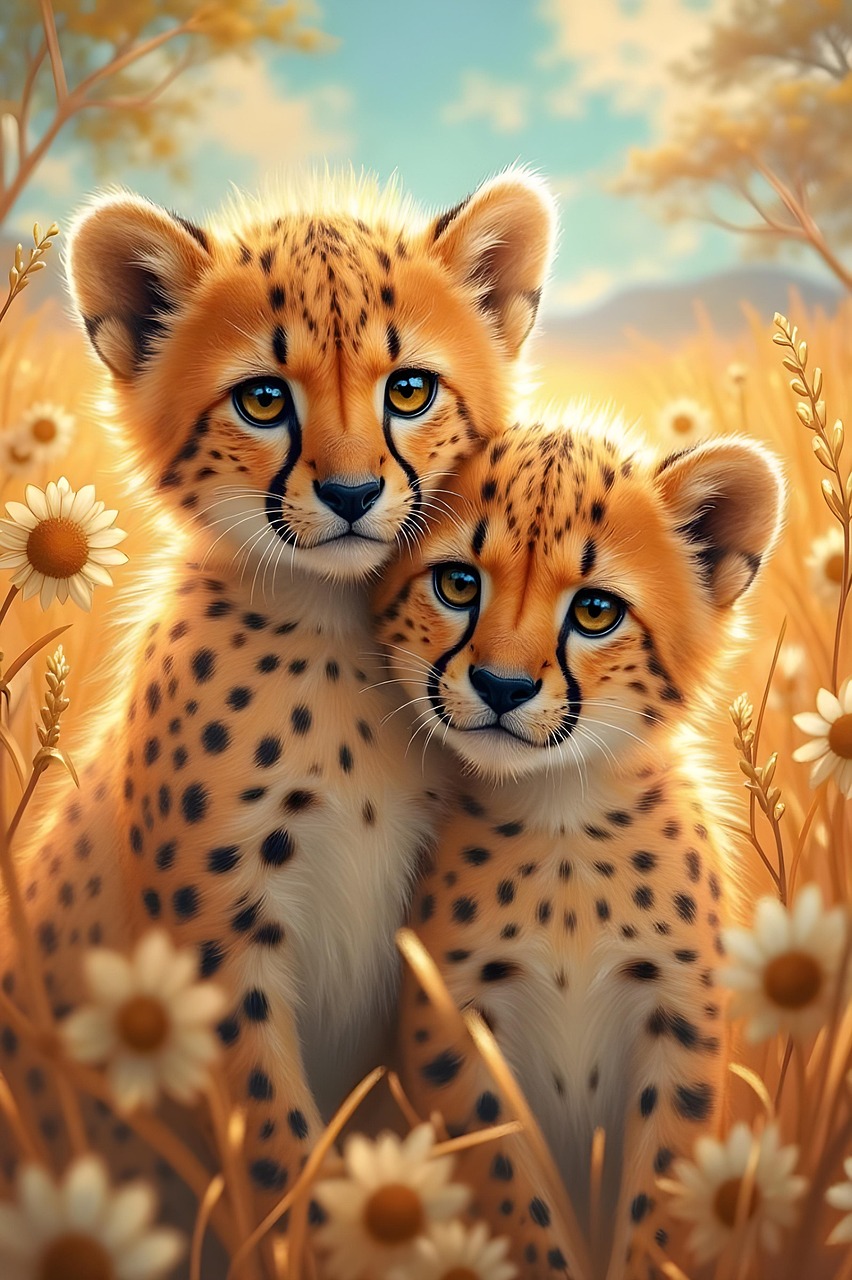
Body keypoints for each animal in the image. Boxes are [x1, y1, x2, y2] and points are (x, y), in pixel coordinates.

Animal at [0, 169, 556, 1231]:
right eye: (263, 399)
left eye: (409, 389)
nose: (350, 494)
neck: (336, 639)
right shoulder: (214, 957)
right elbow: (272, 1147)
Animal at [374, 405, 784, 1279]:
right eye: (458, 583)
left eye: (596, 612)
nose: (501, 686)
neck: (563, 816)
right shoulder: (455, 1035)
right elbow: (514, 1197)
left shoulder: (680, 1023)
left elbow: (661, 1193)